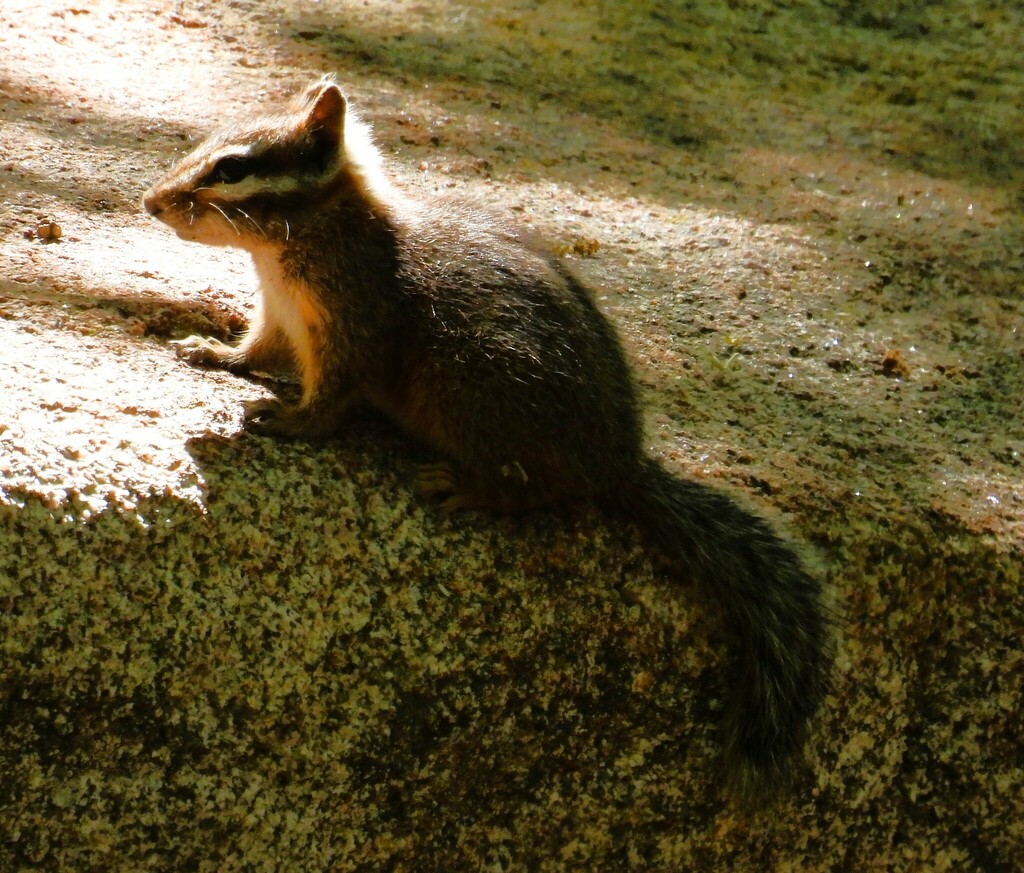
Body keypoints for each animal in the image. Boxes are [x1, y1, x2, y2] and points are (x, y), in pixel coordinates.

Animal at [143, 76, 831, 800]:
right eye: (209, 143)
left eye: (232, 168)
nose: (151, 202)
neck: (299, 244)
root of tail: (620, 461)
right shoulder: (279, 318)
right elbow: (254, 350)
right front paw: (212, 351)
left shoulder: (353, 331)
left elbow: (331, 402)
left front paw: (288, 421)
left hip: (469, 389)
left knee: (537, 492)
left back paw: (467, 487)